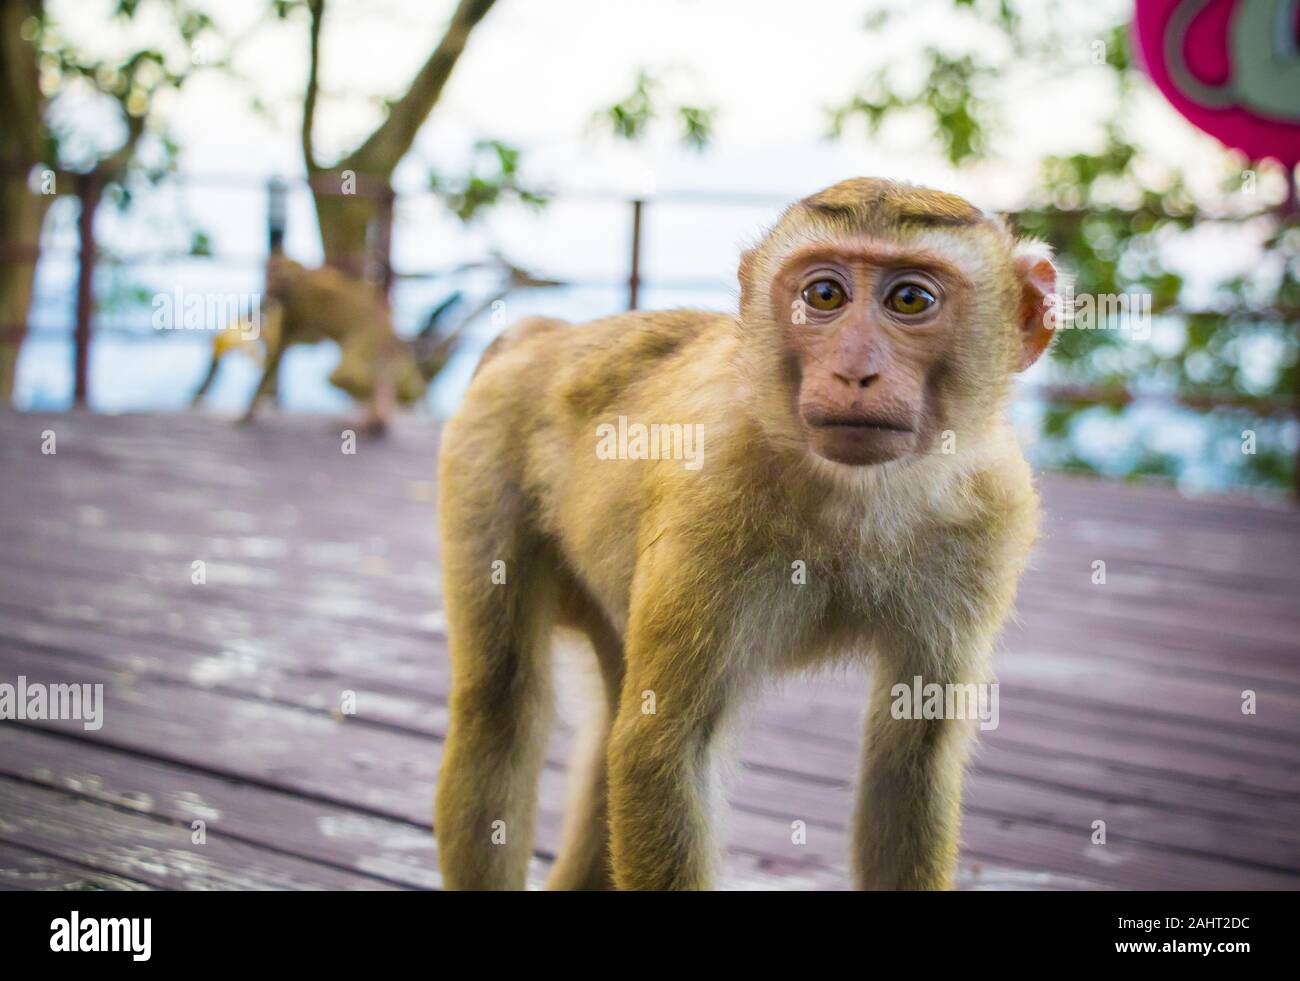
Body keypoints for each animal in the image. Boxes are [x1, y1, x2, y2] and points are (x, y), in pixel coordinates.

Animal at [433, 177, 1059, 890]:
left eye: (910, 300)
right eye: (824, 296)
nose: (854, 371)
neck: (860, 496)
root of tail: (547, 334)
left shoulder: (992, 515)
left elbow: (911, 756)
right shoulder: (712, 493)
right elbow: (662, 747)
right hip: (483, 449)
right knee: (500, 702)